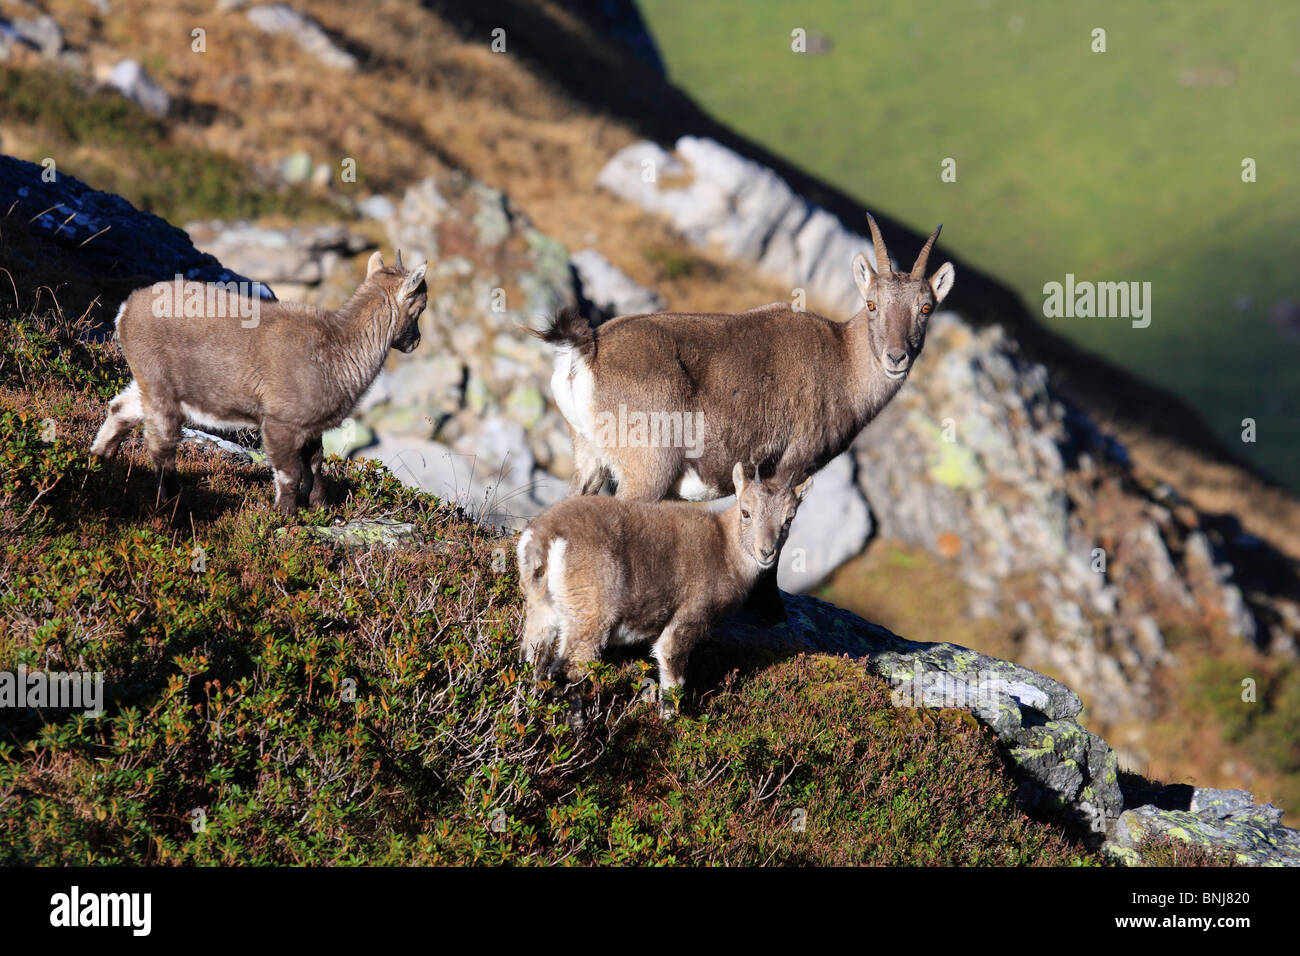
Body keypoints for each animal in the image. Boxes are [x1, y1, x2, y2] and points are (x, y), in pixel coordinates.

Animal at [91, 250, 427, 513]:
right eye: (420, 307)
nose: (416, 341)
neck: (338, 349)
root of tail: (125, 311)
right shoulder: (281, 421)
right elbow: (289, 473)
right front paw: (284, 516)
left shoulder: (310, 427)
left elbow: (315, 465)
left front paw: (320, 507)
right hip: (162, 387)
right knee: (160, 445)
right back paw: (173, 504)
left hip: (145, 382)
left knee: (119, 409)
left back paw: (98, 464)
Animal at [516, 462, 812, 716]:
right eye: (746, 512)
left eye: (789, 518)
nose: (766, 552)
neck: (725, 548)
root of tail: (545, 537)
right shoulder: (687, 620)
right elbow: (672, 676)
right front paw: (671, 721)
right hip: (590, 616)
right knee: (567, 669)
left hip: (542, 610)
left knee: (531, 658)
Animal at [531, 214, 954, 502]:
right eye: (871, 304)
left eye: (926, 307)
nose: (896, 357)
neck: (842, 361)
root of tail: (587, 350)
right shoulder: (787, 467)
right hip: (647, 472)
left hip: (588, 458)